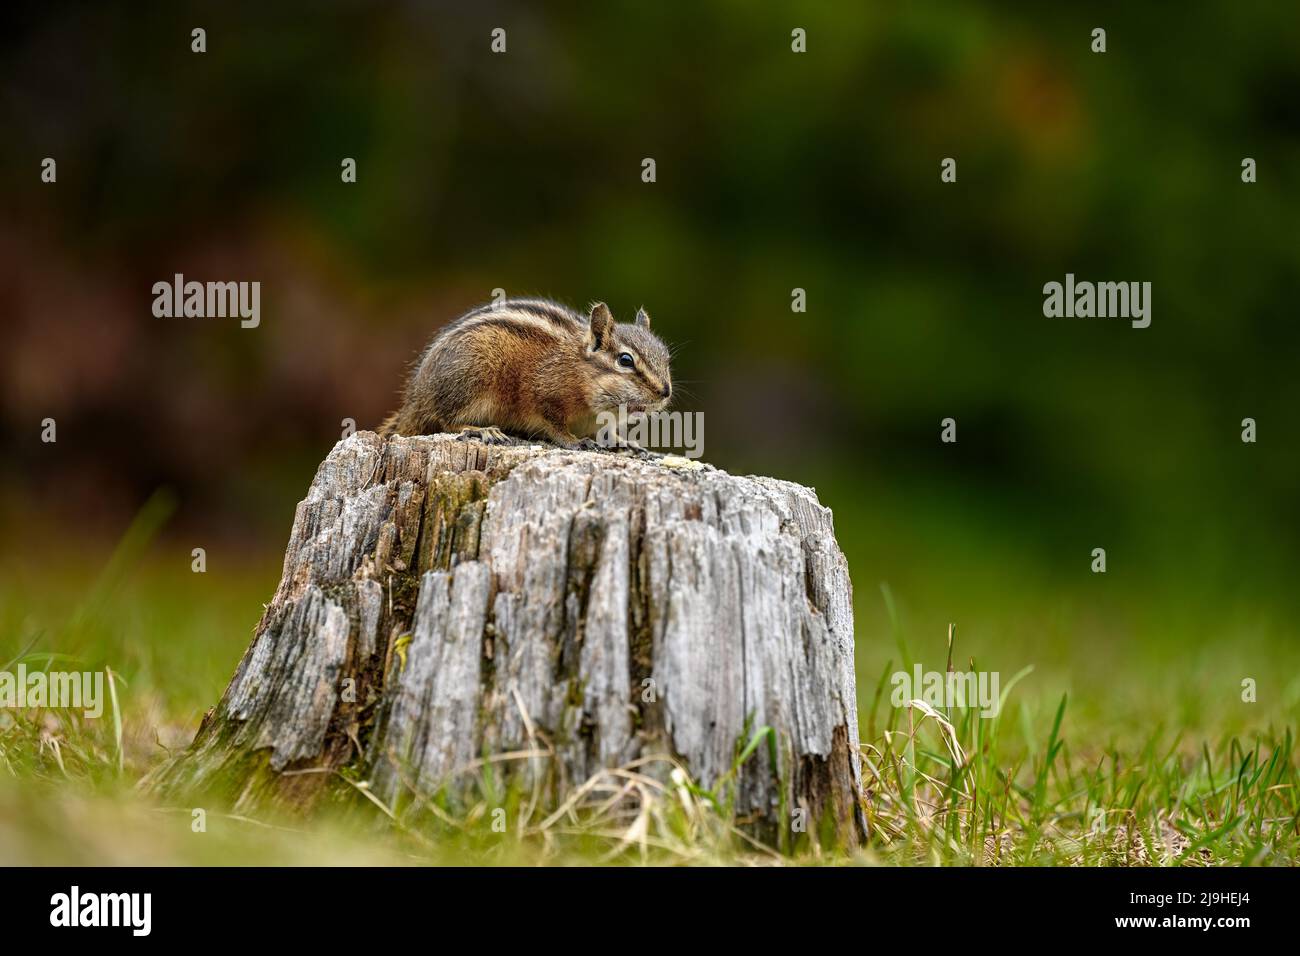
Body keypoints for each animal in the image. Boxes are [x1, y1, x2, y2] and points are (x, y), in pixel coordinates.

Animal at [378, 298, 673, 448]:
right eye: (625, 360)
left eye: (665, 356)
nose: (665, 392)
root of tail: (415, 398)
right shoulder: (543, 395)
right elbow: (553, 424)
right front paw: (573, 441)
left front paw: (624, 442)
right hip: (472, 378)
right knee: (445, 419)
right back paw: (482, 430)